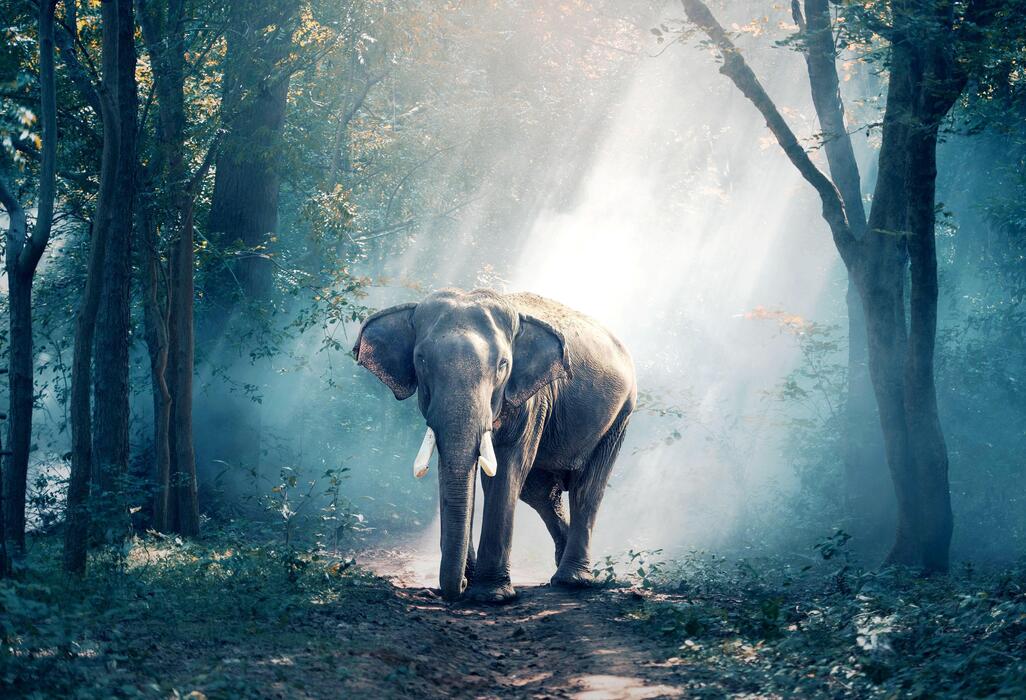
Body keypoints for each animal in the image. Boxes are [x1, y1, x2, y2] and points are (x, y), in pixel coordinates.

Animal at [352, 288, 636, 602]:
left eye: (503, 365)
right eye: (421, 360)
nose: (460, 585)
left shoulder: (532, 399)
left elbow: (506, 470)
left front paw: (491, 596)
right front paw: (472, 581)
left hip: (620, 416)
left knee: (587, 488)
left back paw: (571, 581)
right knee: (539, 492)